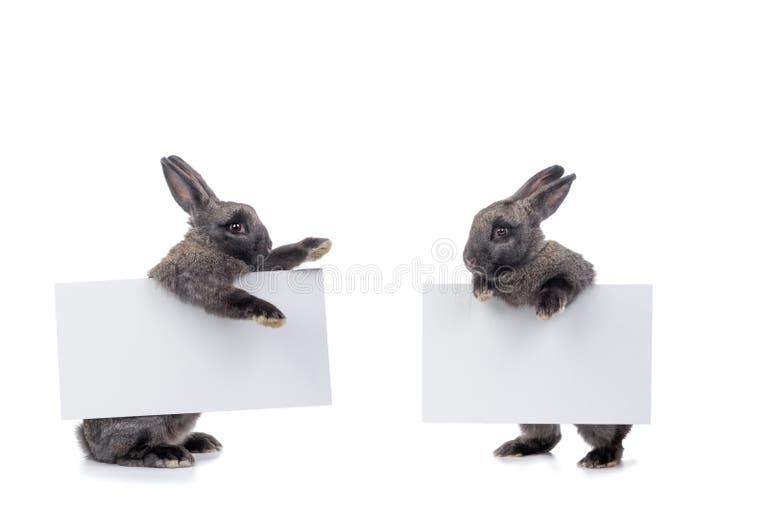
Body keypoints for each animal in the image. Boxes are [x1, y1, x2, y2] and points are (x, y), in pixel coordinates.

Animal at [77, 155, 332, 467]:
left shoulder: (259, 266)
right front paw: (272, 316)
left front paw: (318, 246)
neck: (208, 244)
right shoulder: (201, 283)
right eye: (236, 227)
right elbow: (236, 298)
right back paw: (170, 455)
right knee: (123, 454)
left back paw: (201, 442)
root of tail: (89, 445)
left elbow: (280, 258)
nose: (266, 243)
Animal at [462, 164, 631, 468]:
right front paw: (481, 290)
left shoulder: (573, 275)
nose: (467, 260)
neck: (523, 263)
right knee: (548, 436)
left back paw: (600, 459)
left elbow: (558, 285)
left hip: (597, 420)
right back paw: (515, 448)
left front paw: (546, 310)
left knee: (614, 439)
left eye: (501, 230)